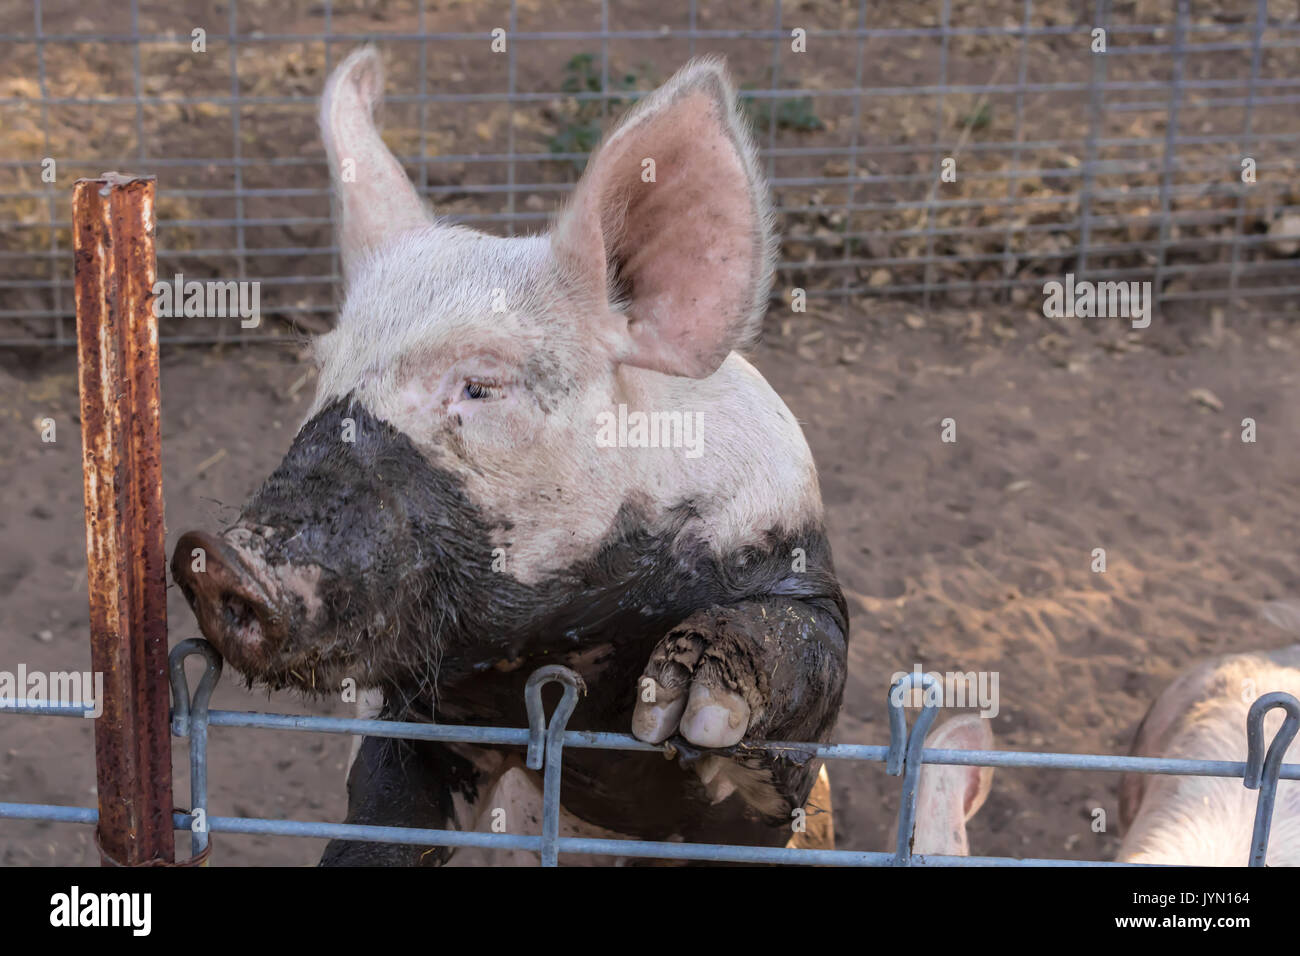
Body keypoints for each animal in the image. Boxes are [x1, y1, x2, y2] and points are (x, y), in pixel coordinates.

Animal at [171, 48, 849, 865]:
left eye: (481, 386)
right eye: (323, 370)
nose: (217, 558)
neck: (557, 647)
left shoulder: (799, 563)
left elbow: (808, 656)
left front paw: (683, 706)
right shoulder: (419, 711)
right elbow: (384, 810)